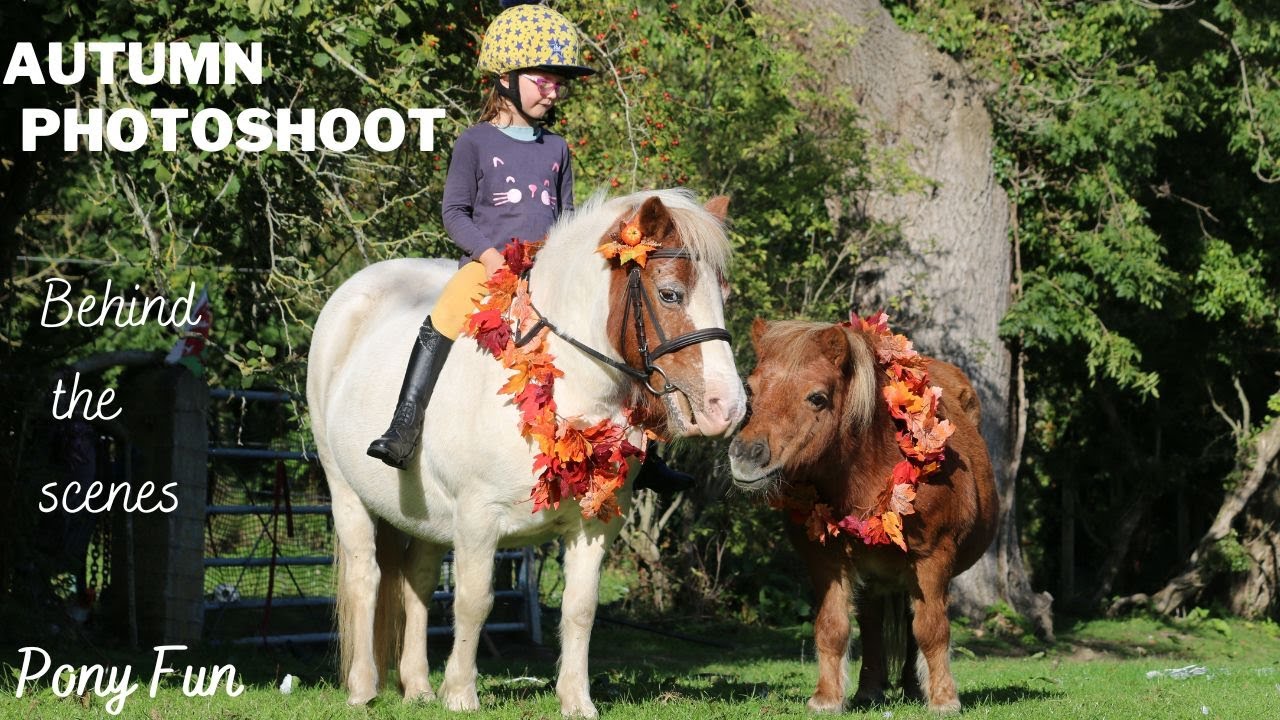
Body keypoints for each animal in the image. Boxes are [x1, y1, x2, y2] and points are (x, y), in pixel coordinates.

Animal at [306, 189, 746, 717]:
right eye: (670, 294)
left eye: (724, 296)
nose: (729, 408)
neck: (567, 386)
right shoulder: (478, 519)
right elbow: (475, 602)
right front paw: (462, 694)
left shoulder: (593, 526)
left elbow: (580, 609)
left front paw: (576, 700)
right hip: (346, 492)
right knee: (365, 578)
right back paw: (363, 688)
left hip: (427, 515)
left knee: (418, 579)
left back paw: (417, 686)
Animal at [727, 318, 998, 713]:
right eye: (750, 389)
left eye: (817, 398)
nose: (747, 455)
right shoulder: (825, 560)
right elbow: (832, 627)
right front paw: (826, 698)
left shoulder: (933, 560)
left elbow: (932, 630)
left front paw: (944, 700)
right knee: (871, 626)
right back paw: (870, 689)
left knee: (912, 625)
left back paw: (915, 688)